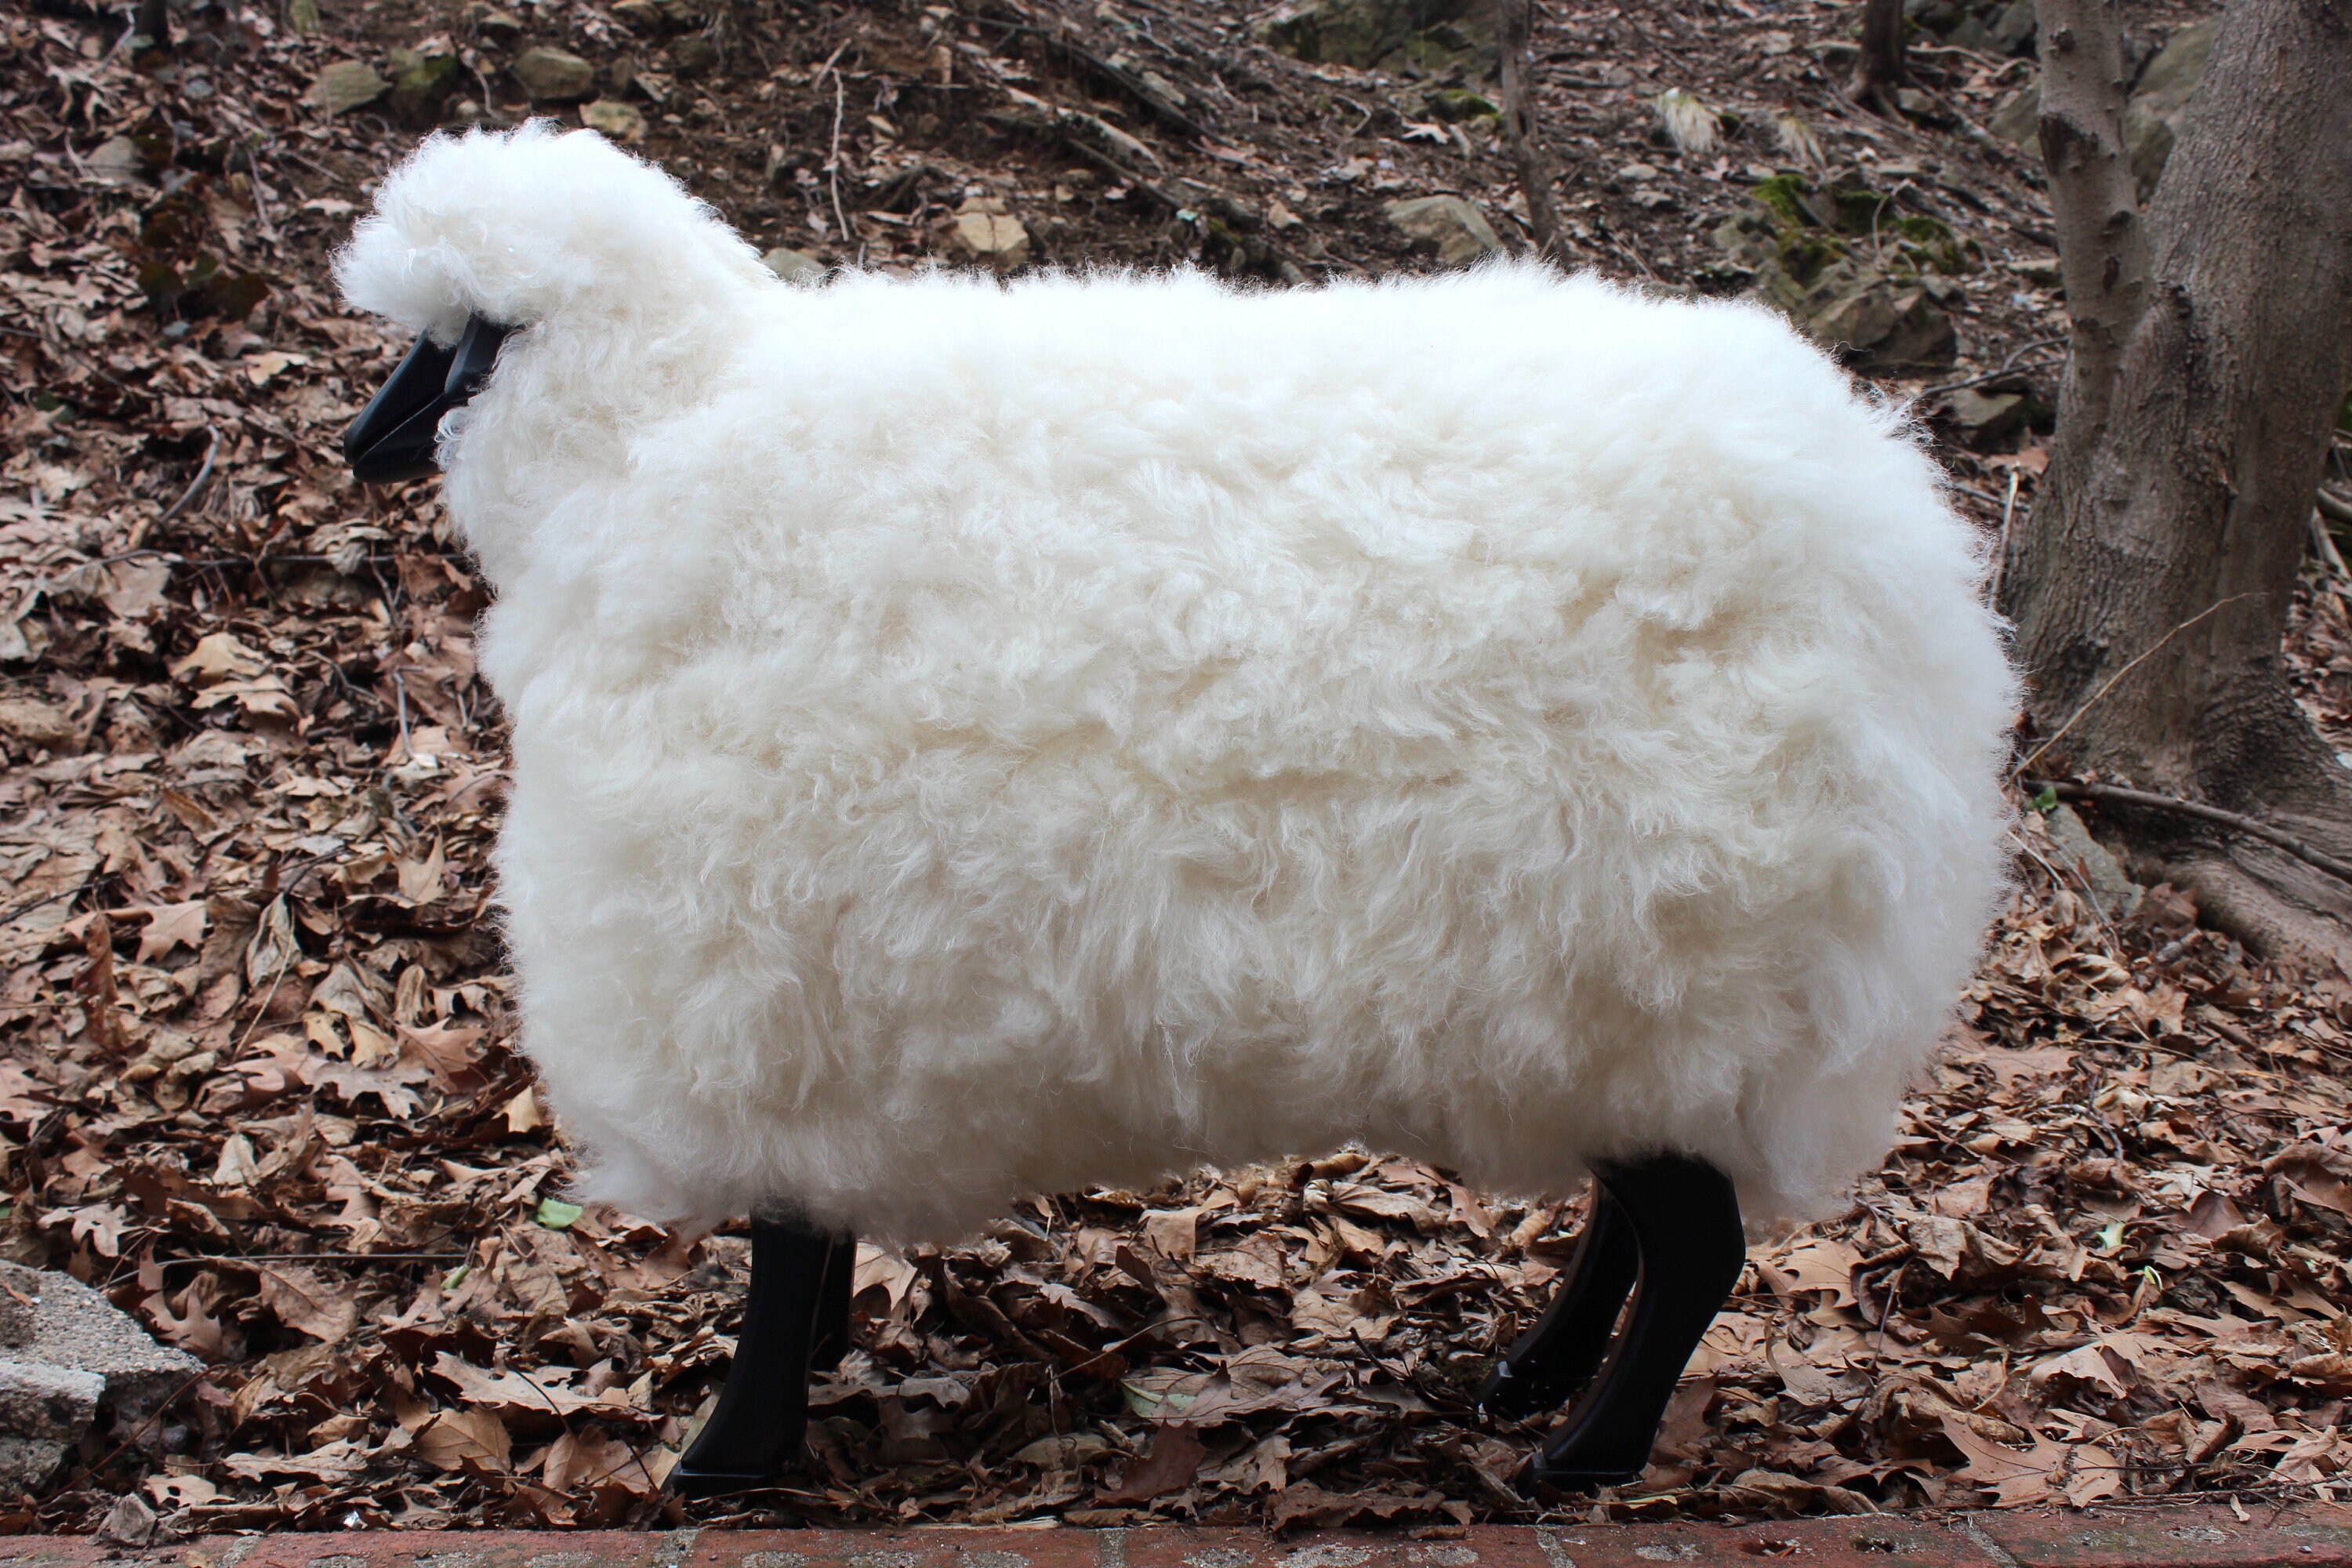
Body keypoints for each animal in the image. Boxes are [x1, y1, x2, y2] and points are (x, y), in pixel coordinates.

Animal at [336, 123, 2017, 1497]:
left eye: (458, 346)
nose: (359, 443)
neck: (641, 453)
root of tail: (1900, 551)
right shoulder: (810, 1024)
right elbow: (805, 1235)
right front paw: (802, 1373)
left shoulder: (753, 993)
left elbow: (780, 1242)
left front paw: (732, 1450)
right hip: (1624, 1005)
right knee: (1643, 1220)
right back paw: (1530, 1380)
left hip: (1683, 970)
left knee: (1699, 1246)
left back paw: (1576, 1456)